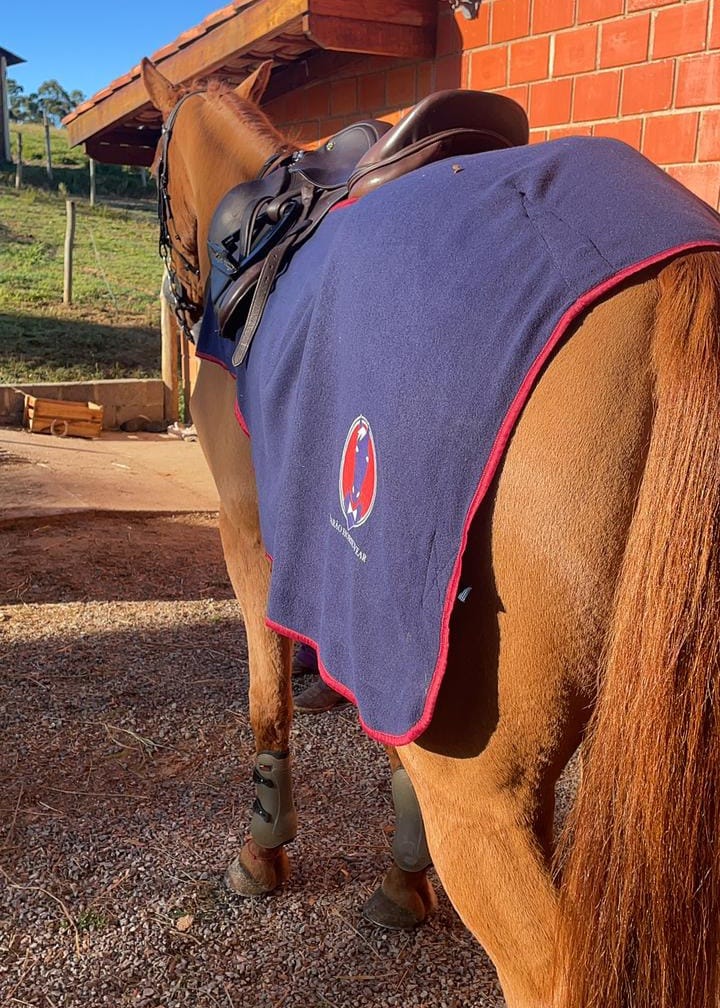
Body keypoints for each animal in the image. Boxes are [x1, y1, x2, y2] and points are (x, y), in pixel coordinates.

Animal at [140, 58, 720, 1008]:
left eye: (151, 165)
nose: (183, 295)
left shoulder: (249, 540)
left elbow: (267, 707)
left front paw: (262, 855)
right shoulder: (389, 638)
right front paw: (403, 884)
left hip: (489, 806)